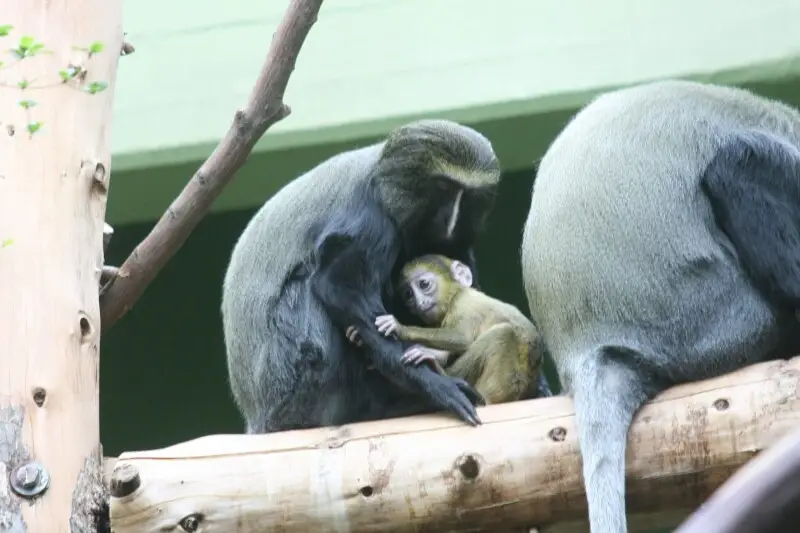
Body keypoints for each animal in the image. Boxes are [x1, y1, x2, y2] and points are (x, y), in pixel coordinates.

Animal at [221, 119, 502, 434]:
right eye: (444, 187)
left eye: (469, 198)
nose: (450, 222)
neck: (382, 177)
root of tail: (259, 417)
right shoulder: (371, 221)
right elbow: (338, 288)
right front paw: (438, 386)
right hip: (294, 380)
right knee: (306, 286)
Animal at [348, 254, 552, 403]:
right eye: (408, 295)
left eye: (424, 285)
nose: (420, 303)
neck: (456, 294)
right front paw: (357, 336)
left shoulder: (463, 304)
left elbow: (462, 339)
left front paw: (400, 328)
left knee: (503, 334)